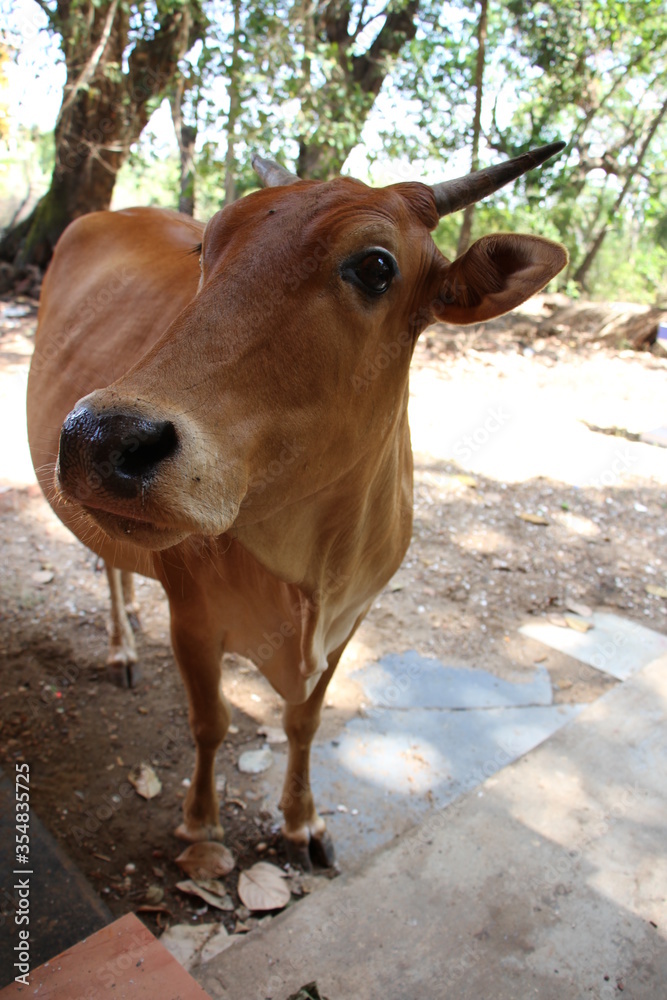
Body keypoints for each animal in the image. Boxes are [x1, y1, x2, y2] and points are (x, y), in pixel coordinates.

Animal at [27, 144, 567, 869]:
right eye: (206, 246)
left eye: (376, 266)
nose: (100, 436)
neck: (315, 565)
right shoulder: (193, 619)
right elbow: (211, 722)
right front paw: (200, 826)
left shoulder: (353, 616)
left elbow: (305, 720)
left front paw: (302, 821)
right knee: (108, 562)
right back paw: (121, 648)